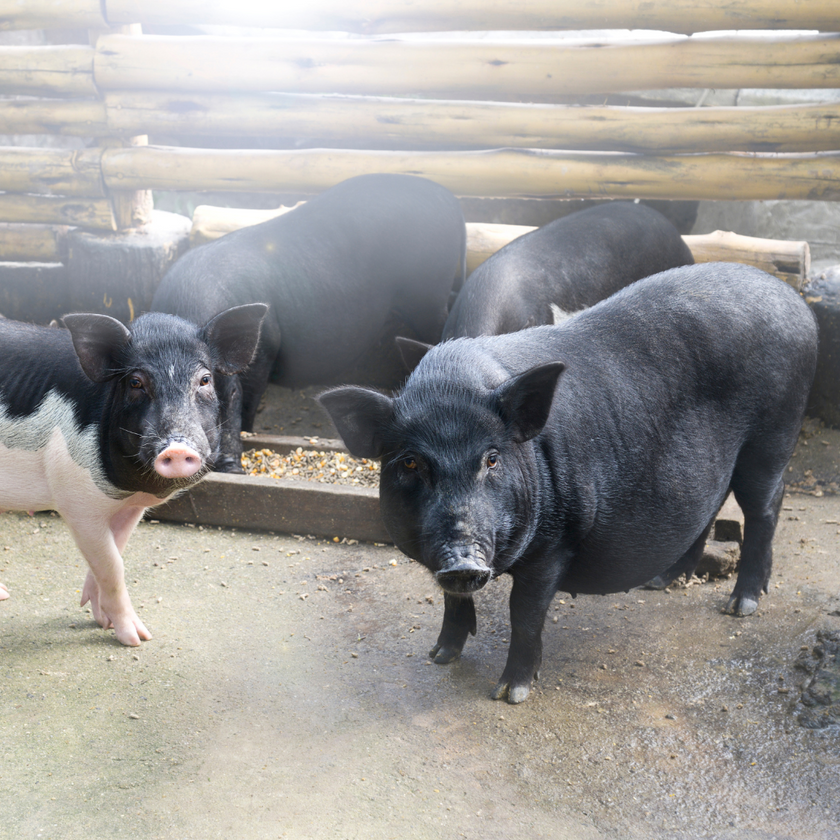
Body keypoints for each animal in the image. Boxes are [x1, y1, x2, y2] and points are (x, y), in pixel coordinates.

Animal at [0, 304, 266, 645]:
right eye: (136, 383)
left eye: (205, 379)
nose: (176, 448)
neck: (132, 489)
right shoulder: (75, 501)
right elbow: (113, 566)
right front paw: (137, 638)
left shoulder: (132, 506)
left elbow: (116, 550)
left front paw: (101, 620)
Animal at [152, 173, 467, 472]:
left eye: (228, 392)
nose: (231, 467)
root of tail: (451, 202)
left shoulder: (265, 348)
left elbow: (251, 398)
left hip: (428, 292)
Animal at [318, 262, 818, 703]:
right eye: (410, 463)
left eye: (492, 459)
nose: (462, 559)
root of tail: (795, 304)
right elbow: (452, 600)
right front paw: (439, 657)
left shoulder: (555, 544)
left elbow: (525, 613)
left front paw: (510, 694)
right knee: (711, 505)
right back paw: (660, 582)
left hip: (771, 439)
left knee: (766, 508)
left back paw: (740, 606)